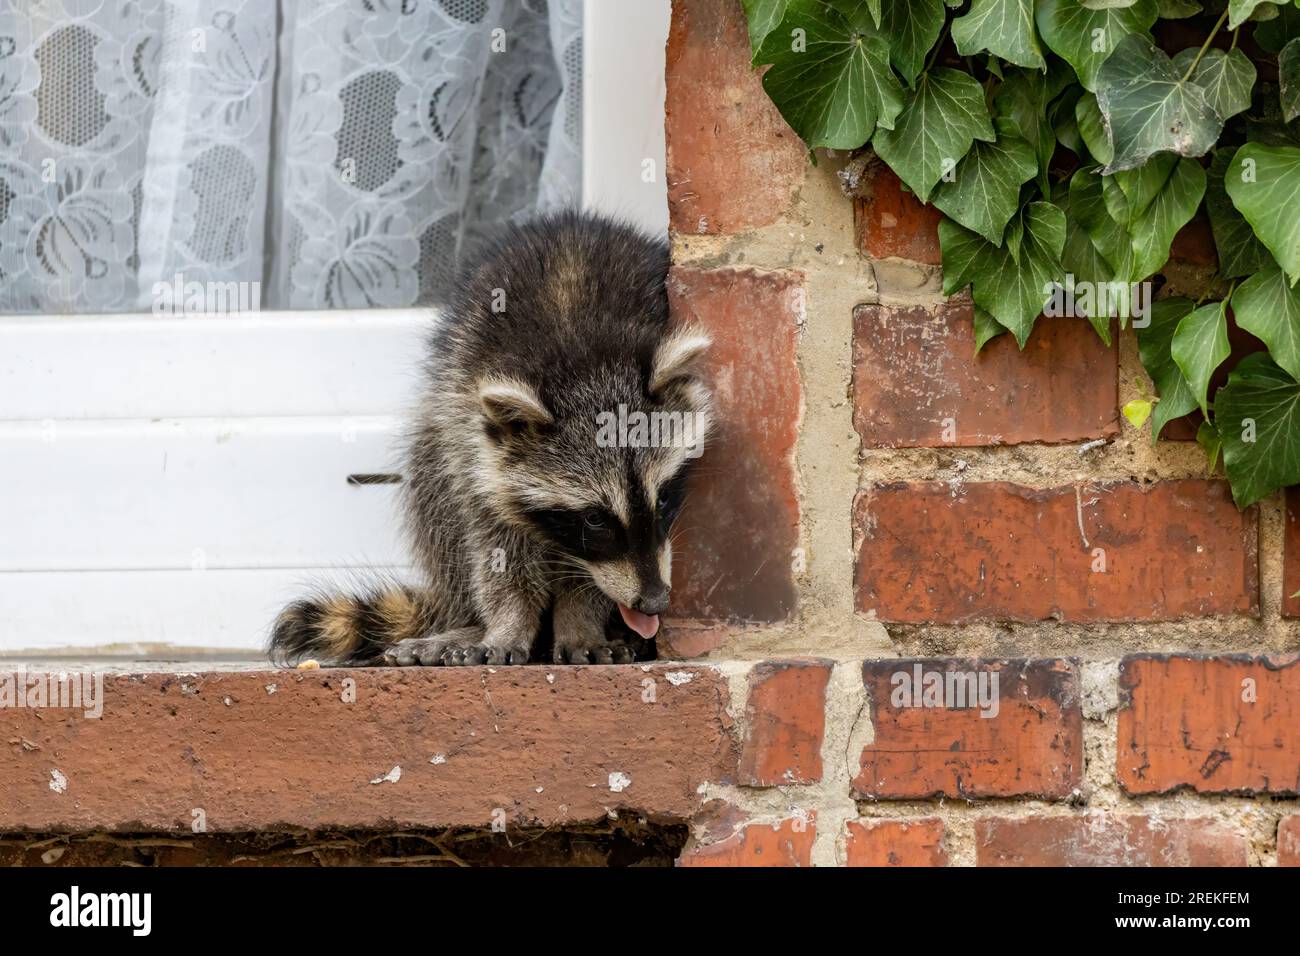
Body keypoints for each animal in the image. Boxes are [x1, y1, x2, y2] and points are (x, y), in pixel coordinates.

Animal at [268, 211, 713, 667]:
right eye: (594, 518)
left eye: (663, 497)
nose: (655, 602)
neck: (586, 362)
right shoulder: (474, 434)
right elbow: (496, 543)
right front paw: (509, 622)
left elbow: (584, 573)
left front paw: (582, 617)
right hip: (441, 427)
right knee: (433, 482)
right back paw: (466, 621)